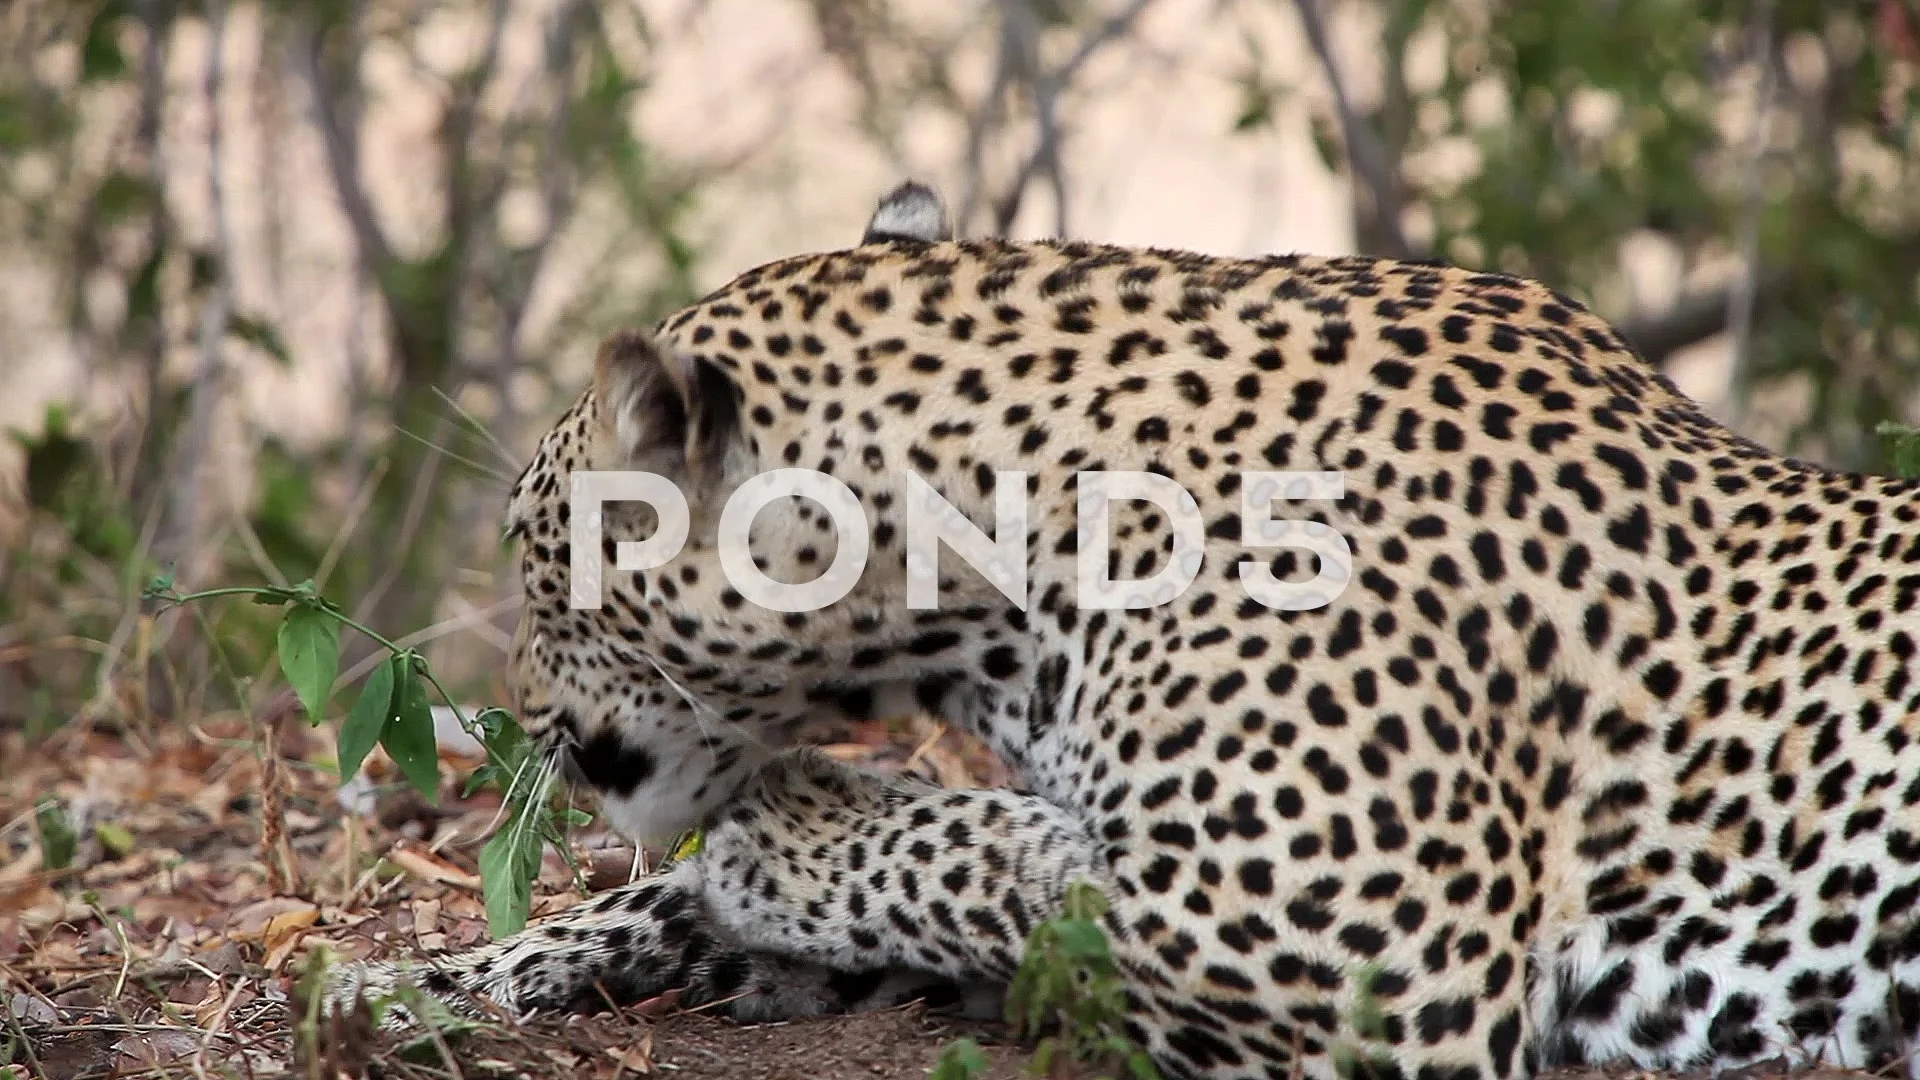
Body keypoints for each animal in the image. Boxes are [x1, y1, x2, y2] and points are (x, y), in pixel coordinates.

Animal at [326, 180, 1920, 1080]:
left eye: (540, 568)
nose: (528, 717)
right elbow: (667, 901)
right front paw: (403, 983)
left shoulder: (1363, 951)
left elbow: (996, 858)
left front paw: (798, 832)